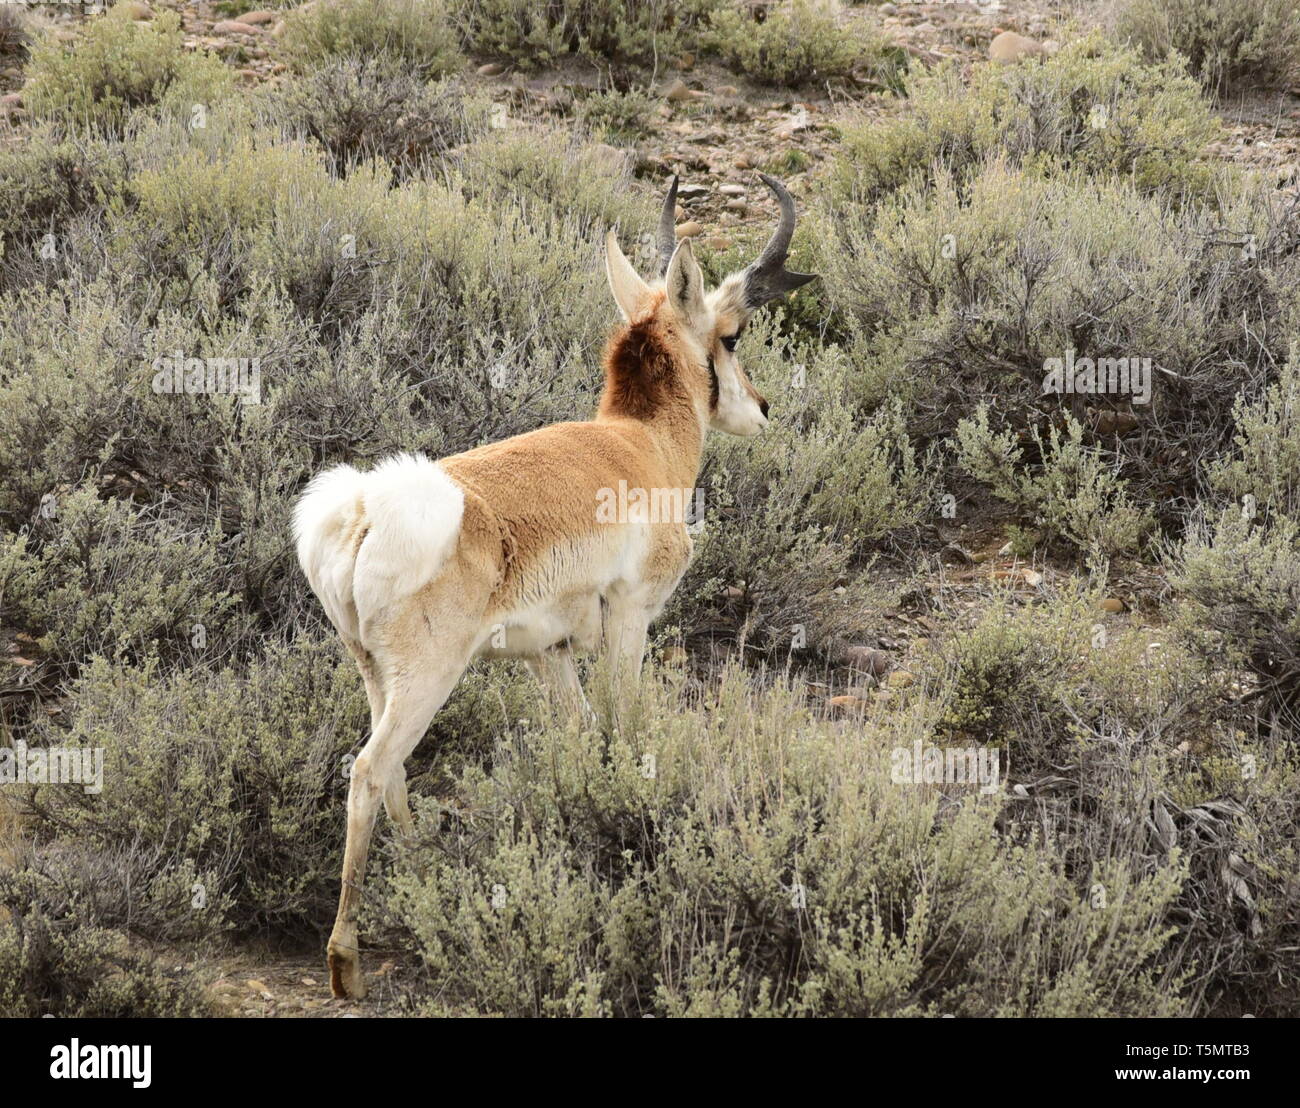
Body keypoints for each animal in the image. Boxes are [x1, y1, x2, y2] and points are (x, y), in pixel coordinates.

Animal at [293, 174, 815, 998]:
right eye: (731, 335)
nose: (763, 409)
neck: (635, 443)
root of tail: (362, 509)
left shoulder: (551, 653)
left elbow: (578, 736)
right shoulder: (629, 621)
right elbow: (627, 725)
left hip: (376, 675)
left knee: (393, 771)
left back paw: (426, 879)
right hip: (428, 678)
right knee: (370, 769)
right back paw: (346, 962)